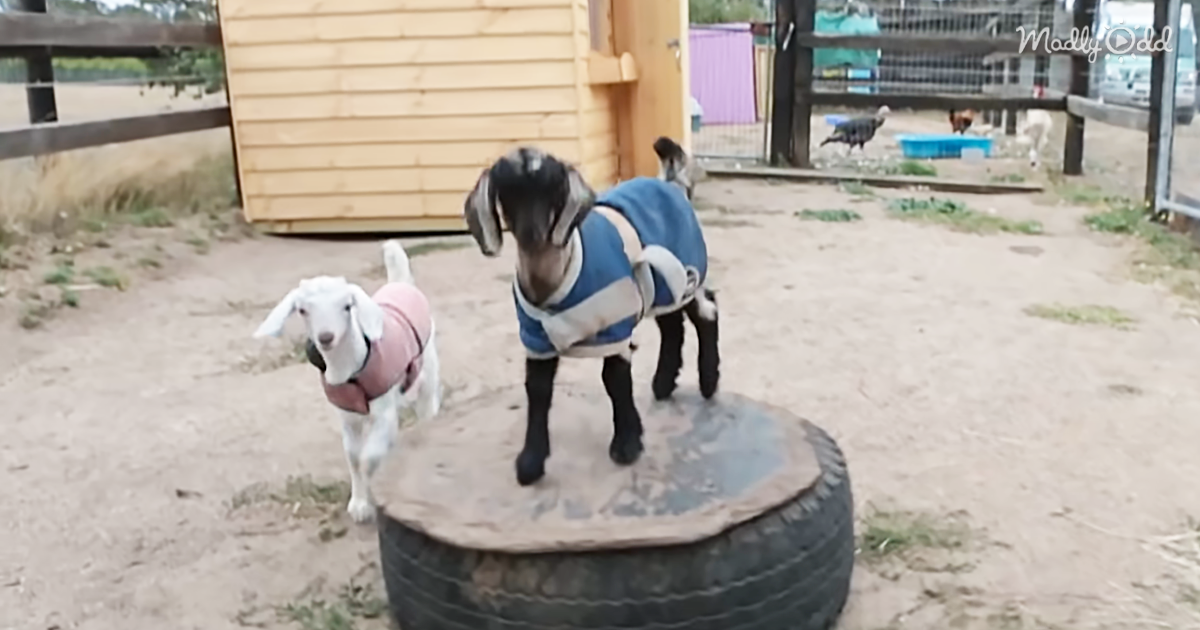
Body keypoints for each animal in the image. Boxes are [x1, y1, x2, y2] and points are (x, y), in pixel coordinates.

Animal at [252, 240, 441, 523]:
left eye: (347, 306)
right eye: (302, 310)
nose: (326, 337)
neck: (349, 370)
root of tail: (401, 284)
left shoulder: (383, 412)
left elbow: (368, 458)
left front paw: (370, 500)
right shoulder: (347, 417)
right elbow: (353, 456)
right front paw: (359, 503)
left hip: (427, 369)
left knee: (428, 406)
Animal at [463, 137, 718, 487]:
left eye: (554, 189)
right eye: (507, 192)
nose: (532, 235)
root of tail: (672, 185)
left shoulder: (615, 324)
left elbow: (614, 380)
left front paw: (626, 444)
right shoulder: (536, 339)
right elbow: (538, 390)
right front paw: (530, 462)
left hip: (687, 269)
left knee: (706, 313)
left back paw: (708, 381)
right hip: (662, 284)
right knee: (672, 326)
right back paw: (664, 383)